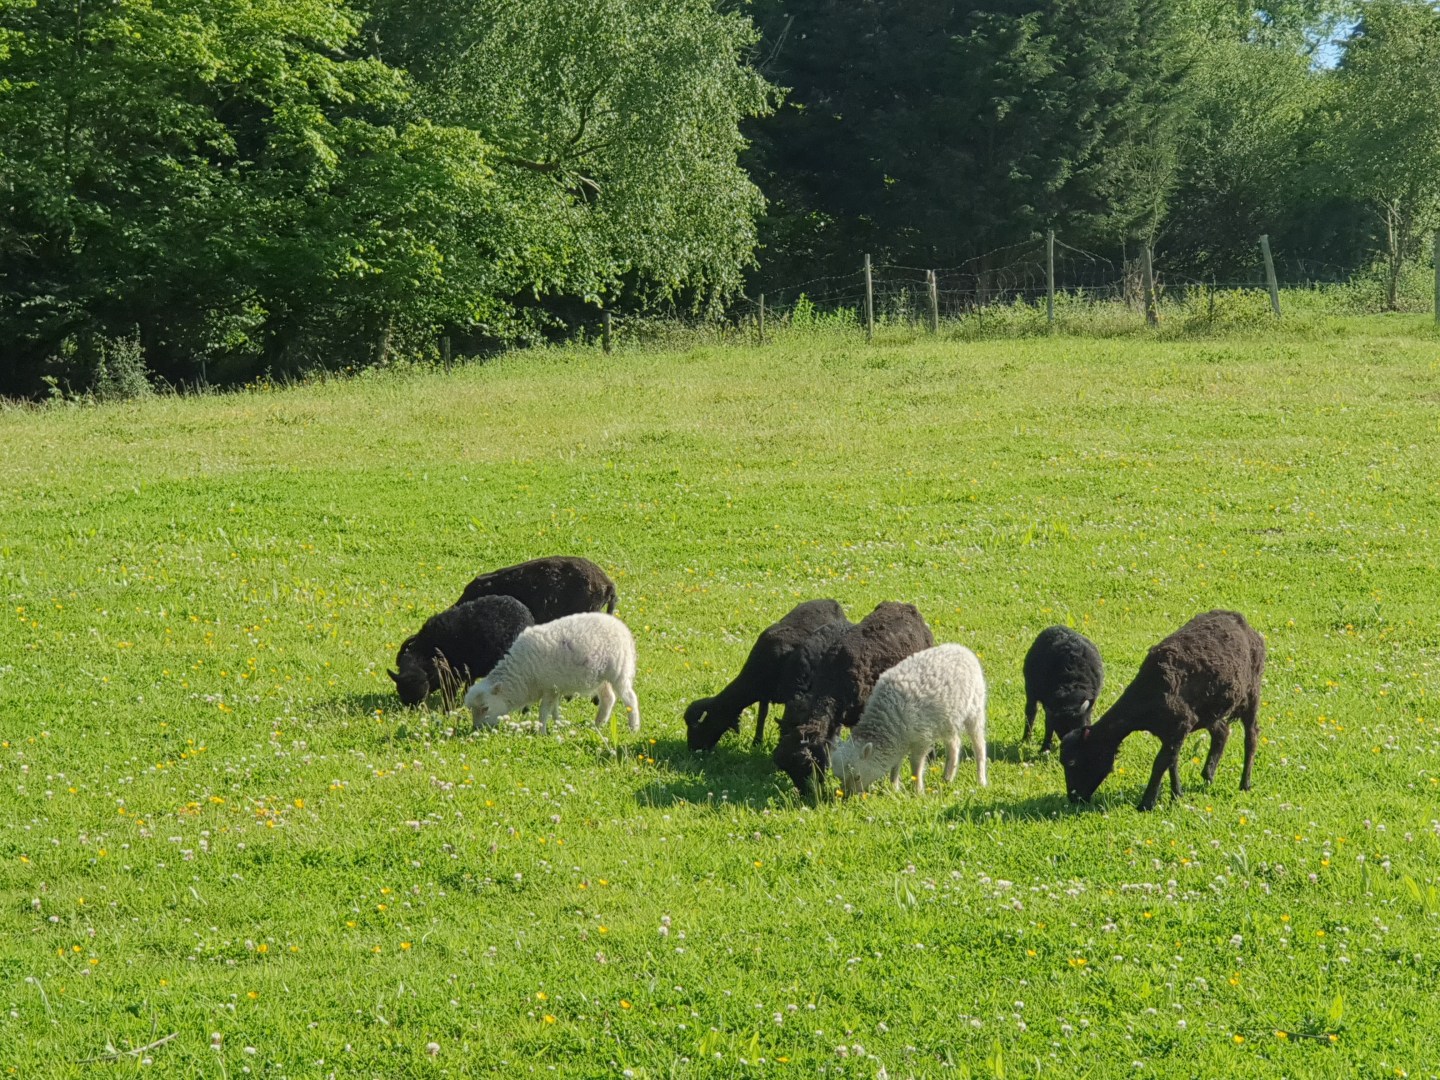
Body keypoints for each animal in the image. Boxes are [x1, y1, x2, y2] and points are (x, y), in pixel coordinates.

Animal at [463, 612, 640, 735]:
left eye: (485, 707)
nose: (476, 729)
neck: (522, 672)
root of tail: (621, 627)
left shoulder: (549, 687)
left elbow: (543, 711)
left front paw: (541, 732)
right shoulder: (556, 687)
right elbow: (554, 708)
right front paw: (558, 724)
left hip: (619, 671)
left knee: (630, 699)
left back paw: (634, 728)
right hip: (601, 677)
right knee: (608, 698)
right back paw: (598, 724)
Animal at [684, 599, 848, 751]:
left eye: (697, 726)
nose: (692, 748)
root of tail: (831, 601)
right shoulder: (764, 692)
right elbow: (762, 715)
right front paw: (757, 742)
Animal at [831, 644, 988, 796]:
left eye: (857, 777)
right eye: (840, 778)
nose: (849, 796)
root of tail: (961, 648)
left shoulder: (921, 739)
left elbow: (915, 766)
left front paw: (918, 792)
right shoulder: (899, 739)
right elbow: (896, 765)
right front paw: (894, 788)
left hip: (975, 709)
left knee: (979, 746)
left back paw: (981, 780)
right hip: (947, 719)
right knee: (954, 744)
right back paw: (948, 777)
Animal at [1059, 609, 1265, 812]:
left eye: (1073, 763)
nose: (1074, 798)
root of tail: (1240, 619)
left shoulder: (1181, 724)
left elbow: (1161, 763)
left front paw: (1147, 803)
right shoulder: (1173, 730)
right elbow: (1172, 762)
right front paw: (1177, 794)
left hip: (1252, 691)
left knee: (1251, 736)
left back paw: (1245, 784)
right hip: (1209, 711)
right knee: (1222, 731)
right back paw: (1208, 775)